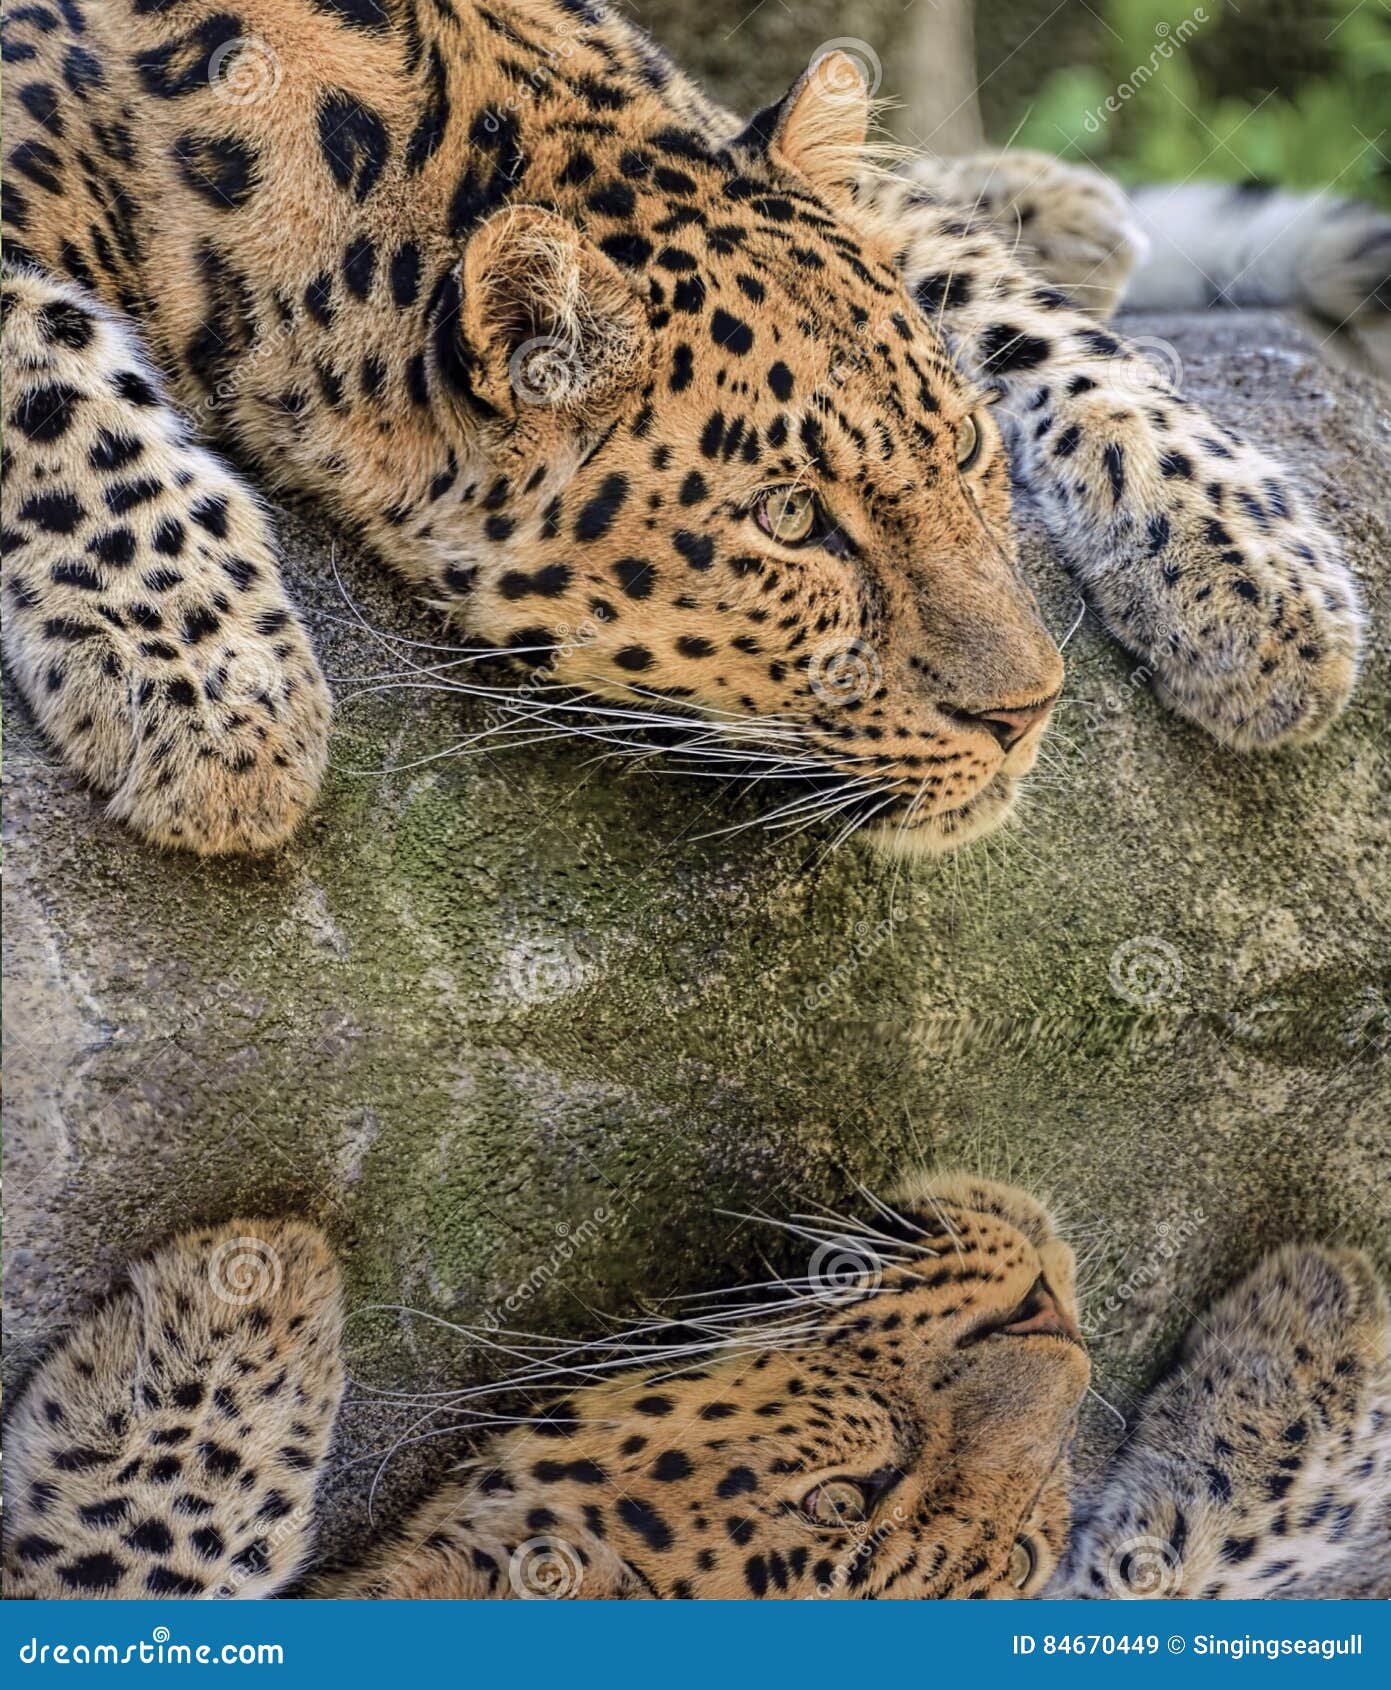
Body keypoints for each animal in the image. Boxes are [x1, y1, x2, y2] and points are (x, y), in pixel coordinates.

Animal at [0, 1, 1370, 859]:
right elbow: (48, 374)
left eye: (968, 449)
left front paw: (1253, 568)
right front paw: (206, 690)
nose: (1028, 715)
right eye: (789, 520)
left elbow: (994, 294)